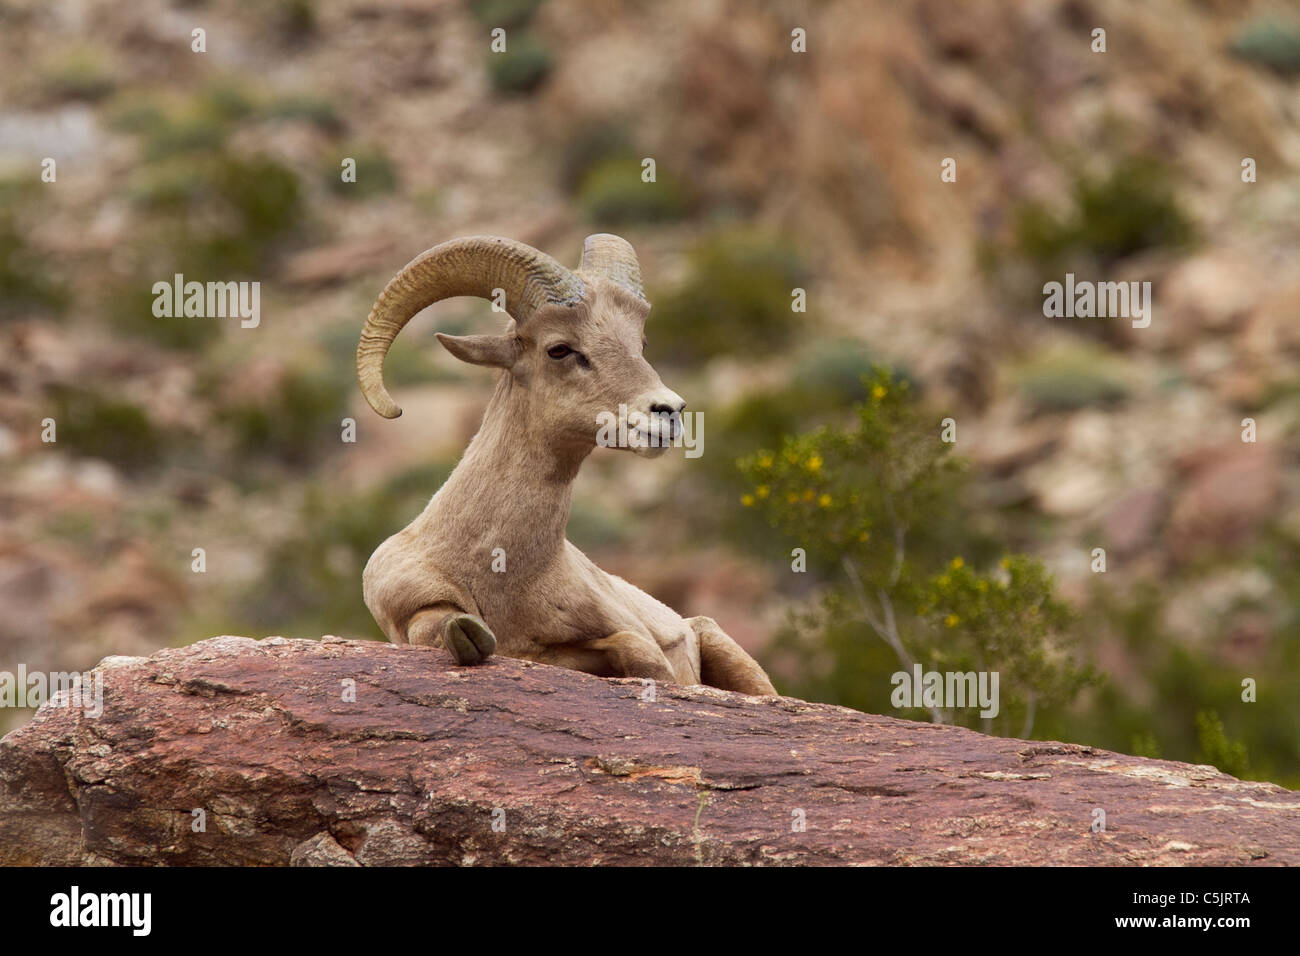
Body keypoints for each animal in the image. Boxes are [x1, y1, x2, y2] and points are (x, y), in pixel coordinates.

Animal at [356, 233, 777, 696]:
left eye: (640, 345)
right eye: (559, 349)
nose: (669, 412)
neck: (497, 570)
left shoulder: (626, 635)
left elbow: (641, 653)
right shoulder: (415, 612)